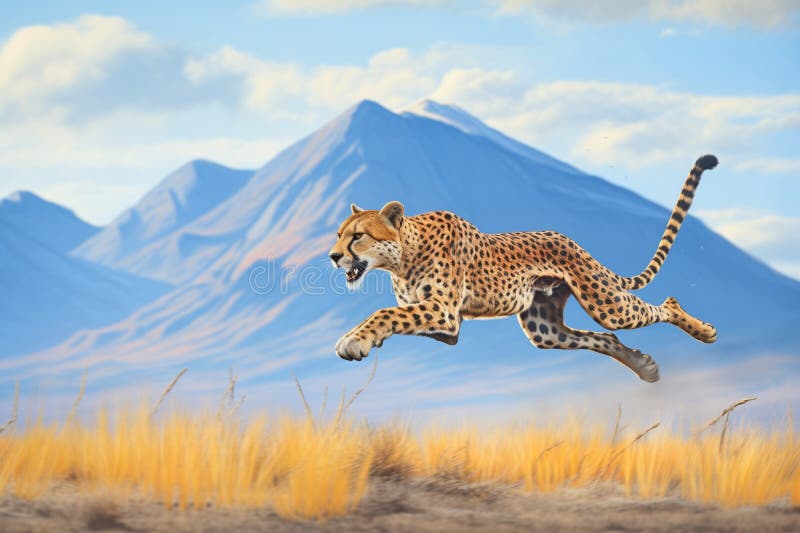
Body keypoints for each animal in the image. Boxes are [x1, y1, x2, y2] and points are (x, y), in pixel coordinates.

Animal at [328, 155, 719, 382]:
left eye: (357, 236)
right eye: (338, 234)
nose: (332, 256)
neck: (403, 255)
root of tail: (570, 240)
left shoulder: (444, 313)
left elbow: (383, 312)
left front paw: (355, 340)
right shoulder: (446, 327)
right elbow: (395, 315)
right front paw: (367, 339)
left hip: (606, 304)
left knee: (656, 307)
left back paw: (702, 331)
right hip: (544, 330)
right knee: (603, 338)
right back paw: (644, 367)